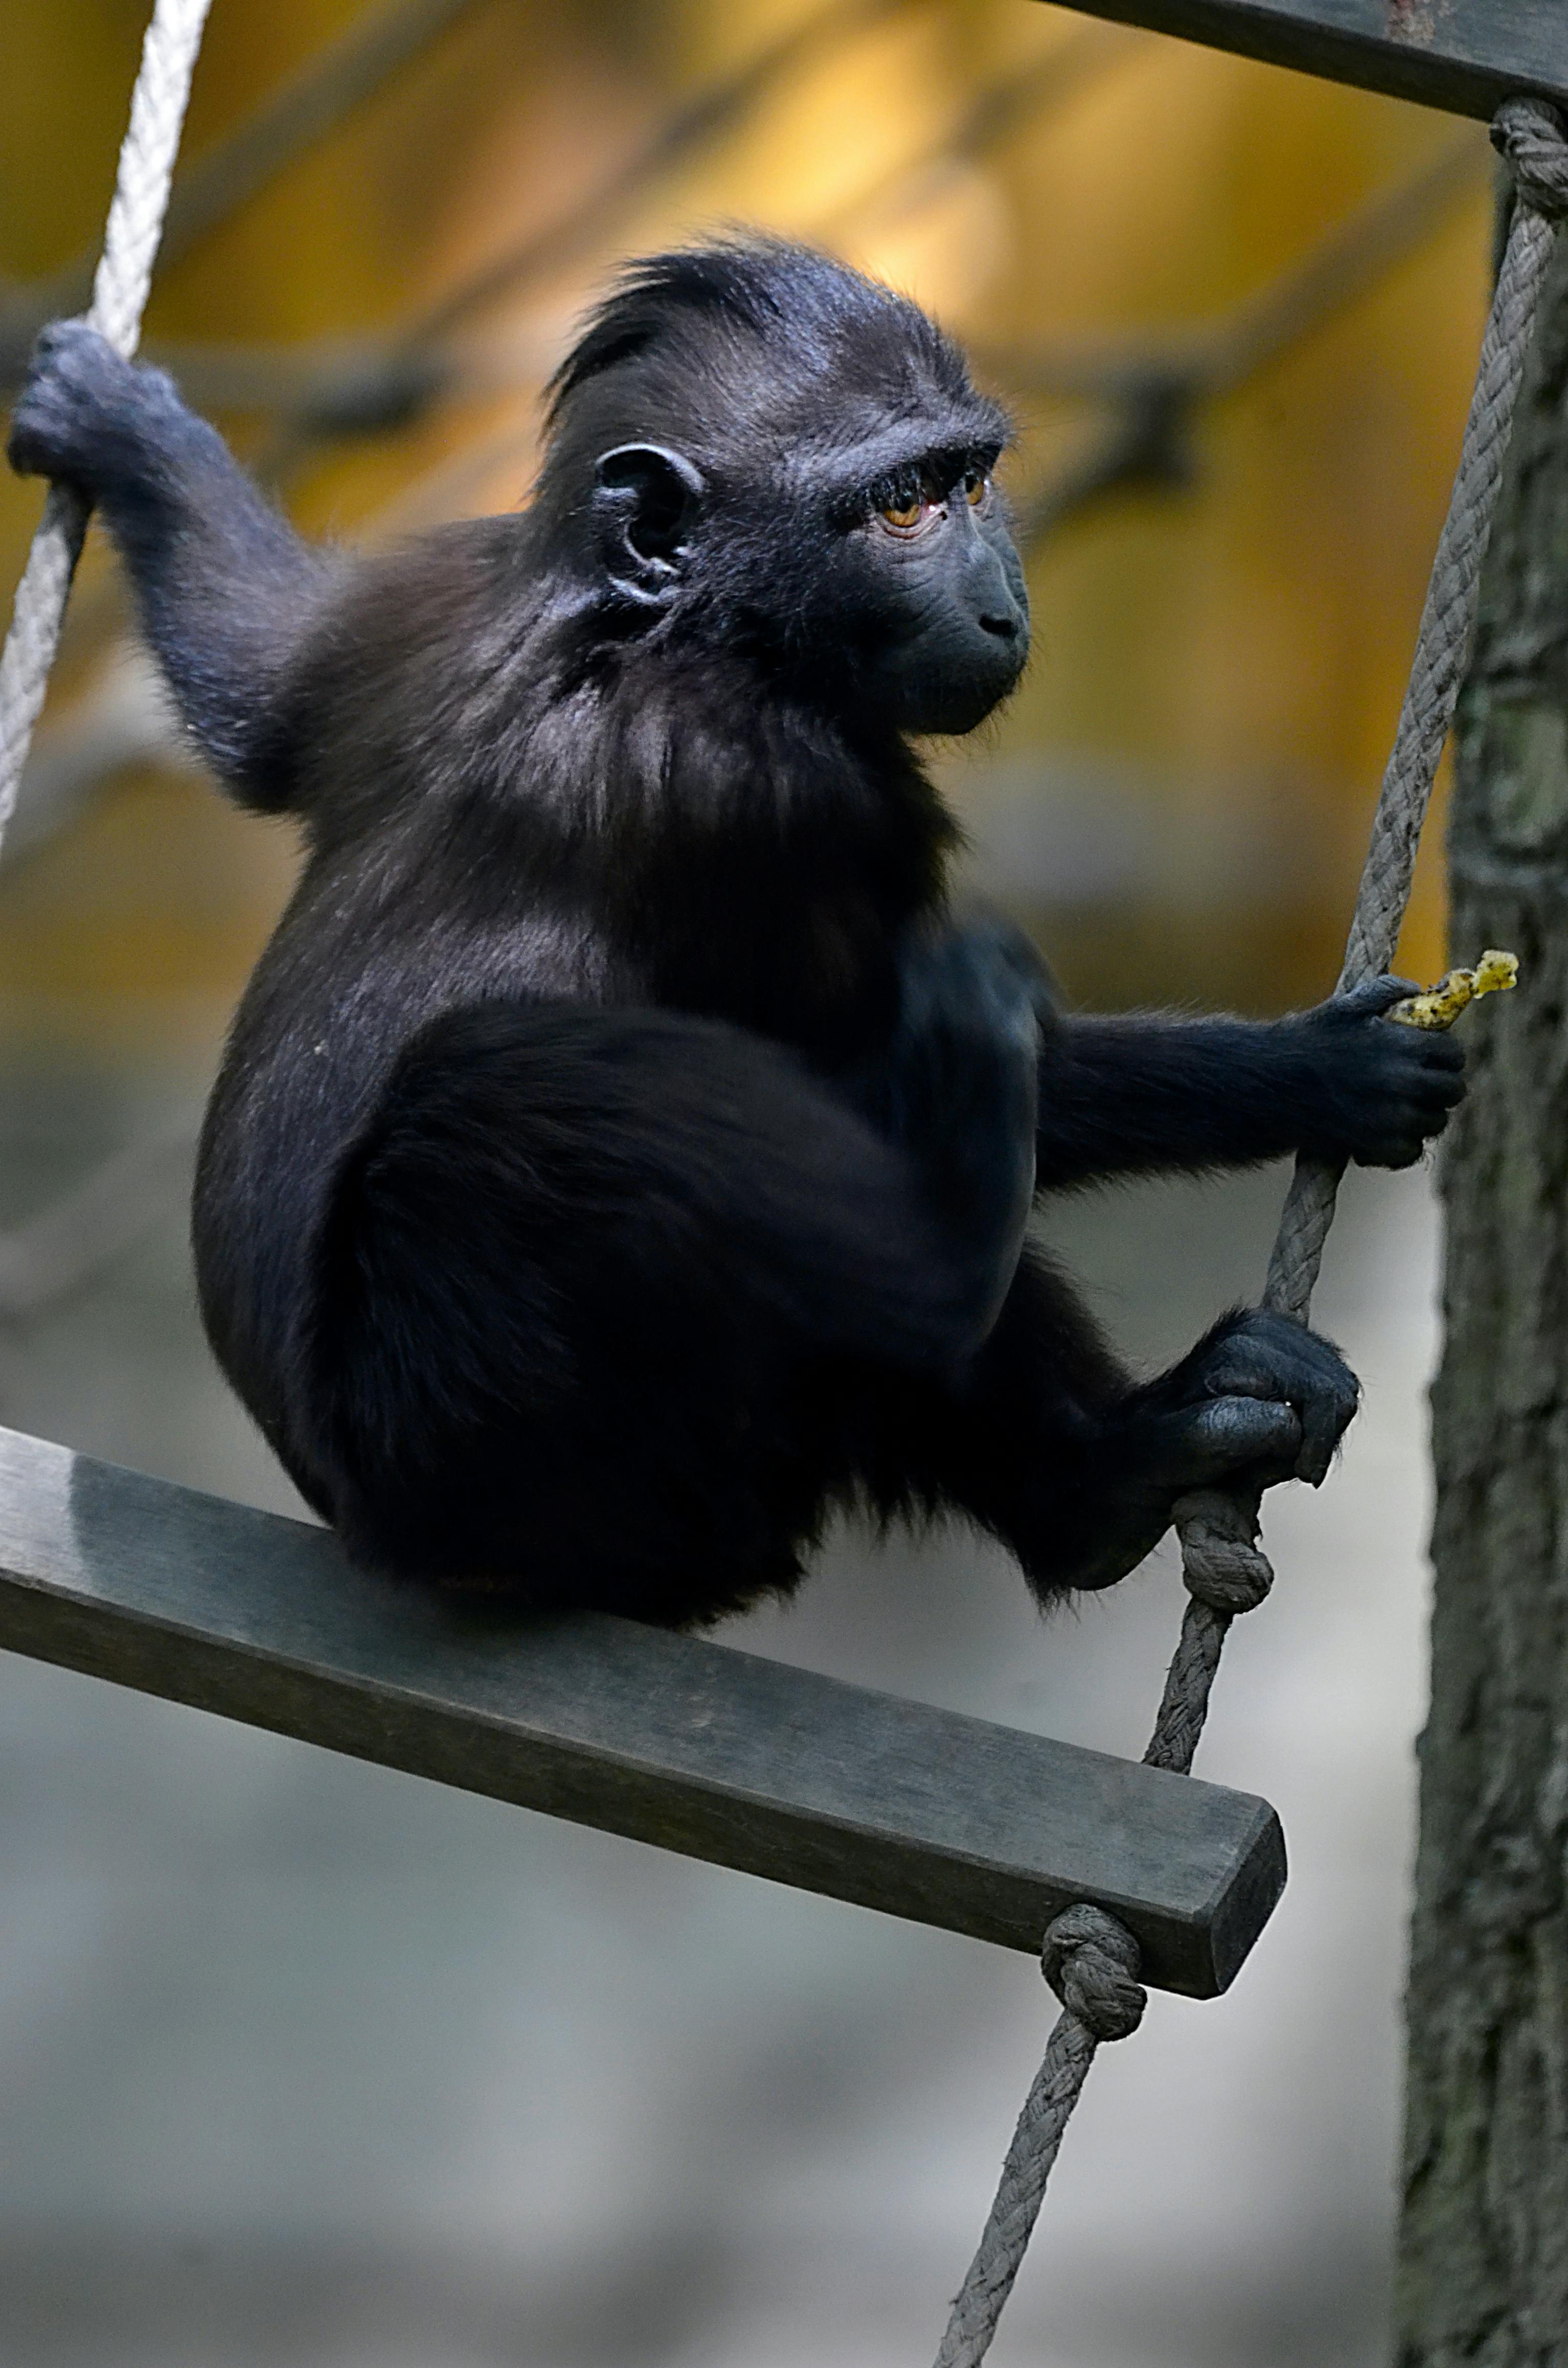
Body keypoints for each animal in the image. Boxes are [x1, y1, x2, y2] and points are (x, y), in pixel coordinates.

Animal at [7, 238, 1464, 1627]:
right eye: (899, 504)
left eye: (971, 481)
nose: (1004, 604)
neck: (643, 632)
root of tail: (372, 1534)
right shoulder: (792, 796)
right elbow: (852, 1087)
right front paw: (1302, 1071)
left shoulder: (432, 592)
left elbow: (255, 675)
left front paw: (114, 418)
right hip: (531, 1462)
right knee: (526, 1102)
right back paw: (1089, 1465)